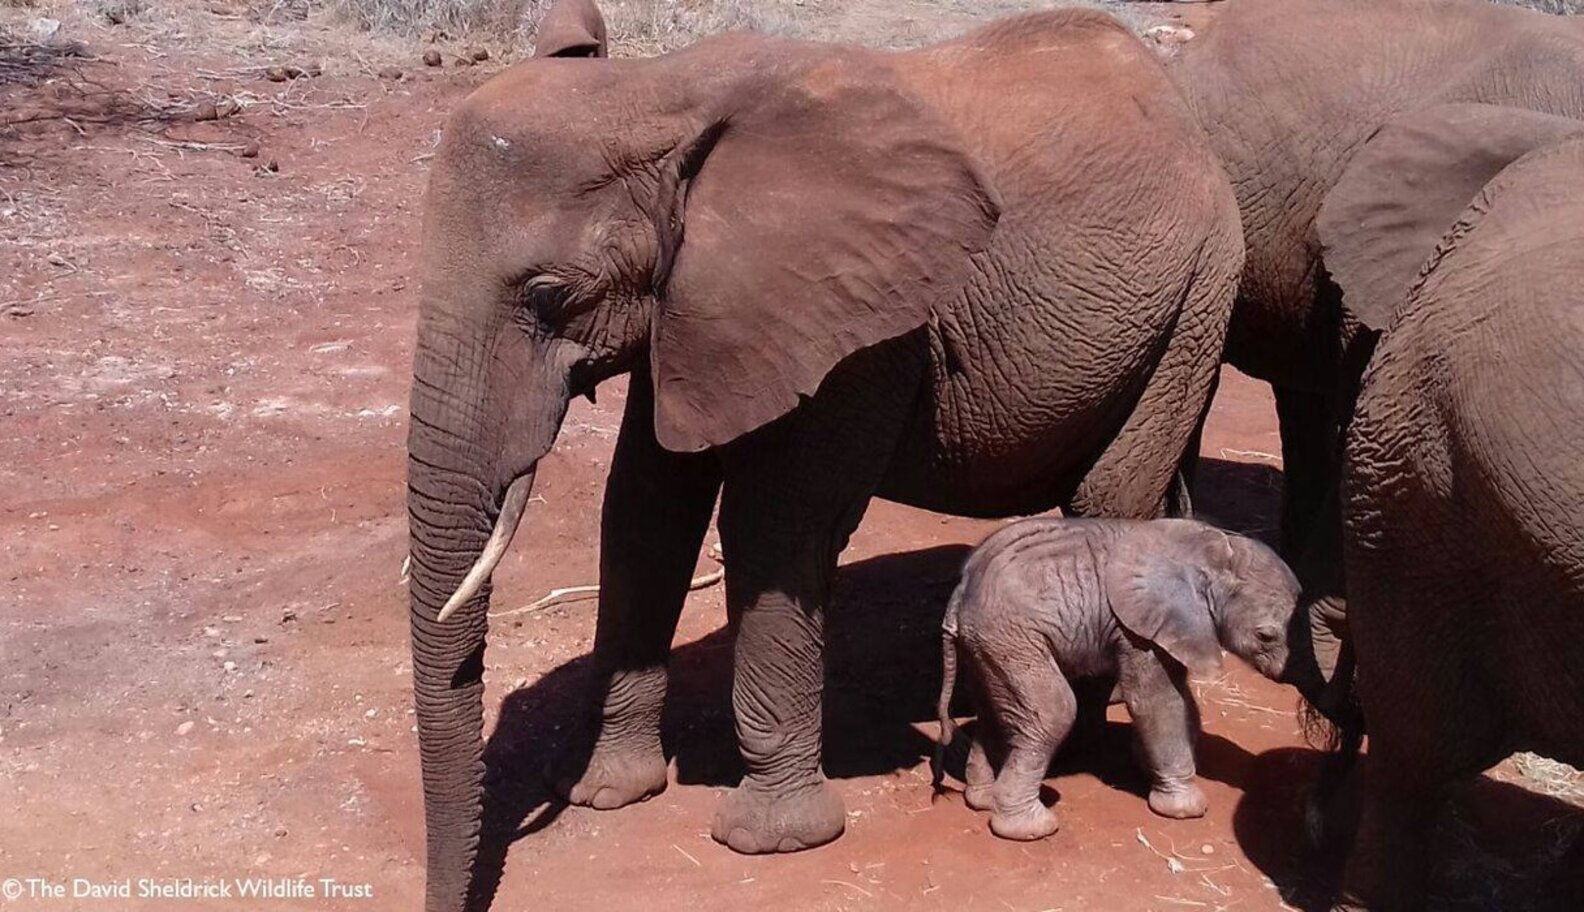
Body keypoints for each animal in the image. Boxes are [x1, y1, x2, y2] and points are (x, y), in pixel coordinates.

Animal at [405, 4, 1245, 908]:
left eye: (548, 296)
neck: (656, 91)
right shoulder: (696, 308)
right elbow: (644, 509)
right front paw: (606, 792)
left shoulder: (862, 327)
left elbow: (776, 526)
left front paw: (769, 840)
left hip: (1197, 300)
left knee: (1111, 496)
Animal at [931, 517, 1306, 841]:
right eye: (1266, 636)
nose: (1285, 676)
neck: (1210, 548)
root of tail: (961, 591)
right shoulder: (1136, 628)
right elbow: (1156, 701)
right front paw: (1186, 807)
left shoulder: (1170, 627)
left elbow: (1181, 697)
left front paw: (1148, 766)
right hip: (1011, 637)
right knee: (1052, 712)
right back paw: (1032, 829)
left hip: (988, 644)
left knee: (993, 712)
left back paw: (983, 800)